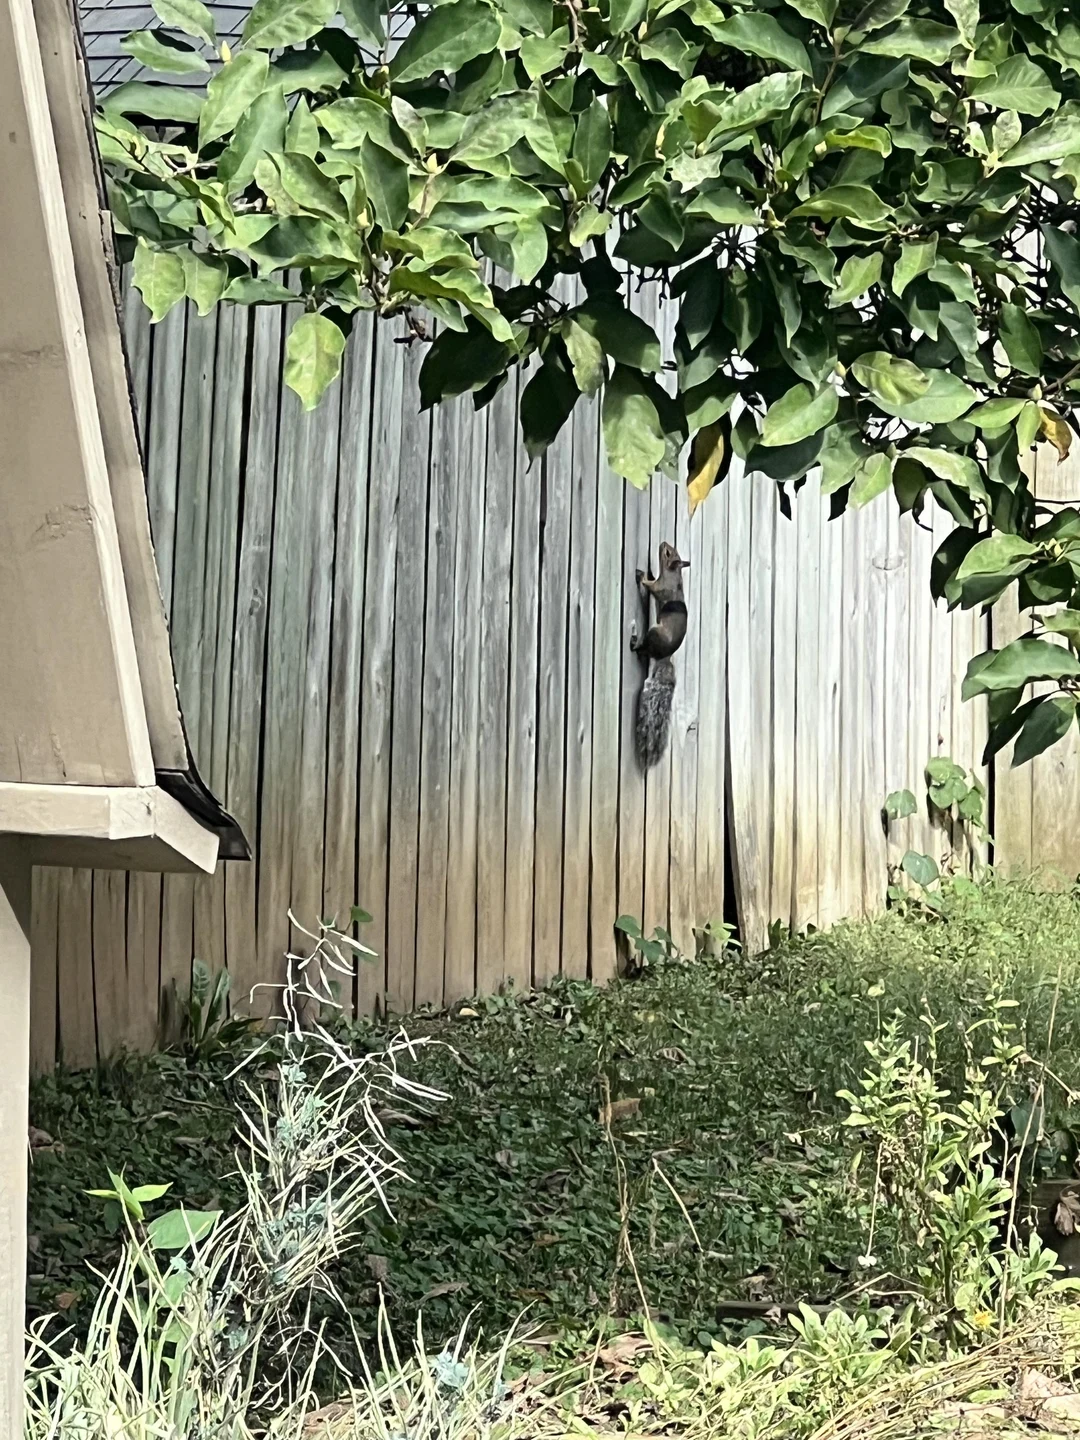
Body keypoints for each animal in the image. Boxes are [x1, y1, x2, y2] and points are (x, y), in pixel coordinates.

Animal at [630, 541, 689, 769]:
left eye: (667, 553)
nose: (662, 542)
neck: (674, 574)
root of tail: (664, 657)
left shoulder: (661, 587)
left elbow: (651, 586)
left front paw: (641, 576)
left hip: (654, 633)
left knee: (644, 649)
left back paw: (636, 645)